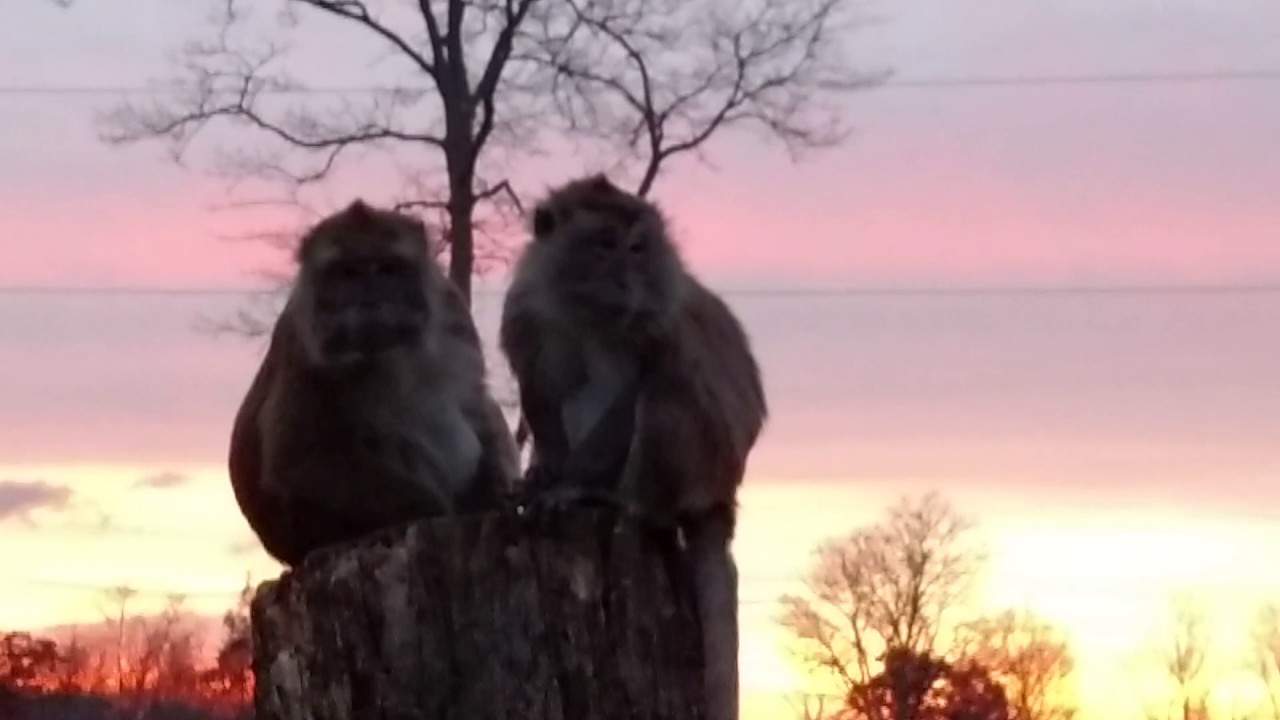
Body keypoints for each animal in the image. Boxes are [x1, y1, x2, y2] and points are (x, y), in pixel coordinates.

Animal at [227, 199, 520, 568]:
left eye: (385, 269)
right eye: (348, 272)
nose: (369, 296)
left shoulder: (454, 312)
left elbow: (474, 404)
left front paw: (491, 492)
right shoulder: (306, 348)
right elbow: (297, 457)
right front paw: (433, 508)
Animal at [499, 174, 767, 720]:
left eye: (638, 248)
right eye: (605, 245)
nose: (629, 281)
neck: (584, 313)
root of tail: (723, 494)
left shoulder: (651, 323)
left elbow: (635, 389)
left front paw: (570, 487)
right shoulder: (527, 311)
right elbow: (542, 394)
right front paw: (543, 474)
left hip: (699, 463)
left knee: (666, 393)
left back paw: (619, 499)